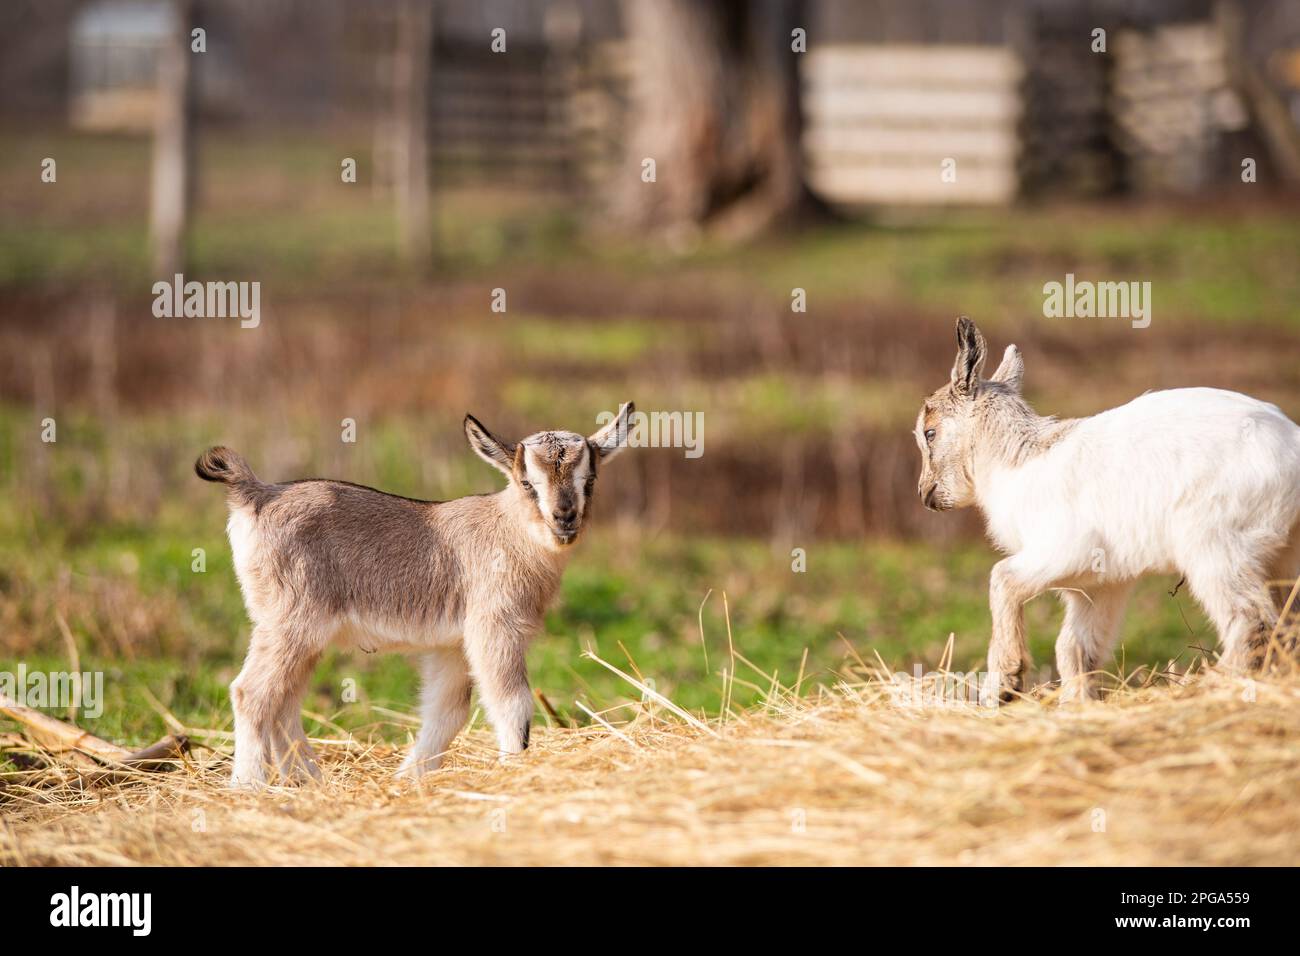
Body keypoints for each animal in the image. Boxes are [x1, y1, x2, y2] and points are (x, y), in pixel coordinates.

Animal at [197, 402, 635, 787]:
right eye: (527, 483)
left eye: (589, 480)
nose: (564, 518)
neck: (510, 531)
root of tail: (256, 494)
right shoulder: (495, 626)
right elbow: (512, 704)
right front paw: (515, 771)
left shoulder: (452, 645)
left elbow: (446, 712)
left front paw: (409, 777)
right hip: (290, 620)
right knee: (252, 693)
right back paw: (250, 785)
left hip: (299, 632)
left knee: (283, 701)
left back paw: (308, 781)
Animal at [916, 317, 1300, 702]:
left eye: (930, 433)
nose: (924, 495)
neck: (1017, 459)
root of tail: (1292, 450)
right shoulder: (1100, 585)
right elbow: (1074, 649)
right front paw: (1076, 704)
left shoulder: (1063, 552)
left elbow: (1003, 580)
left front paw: (1004, 687)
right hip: (1282, 559)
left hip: (1215, 546)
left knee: (1252, 622)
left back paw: (1206, 689)